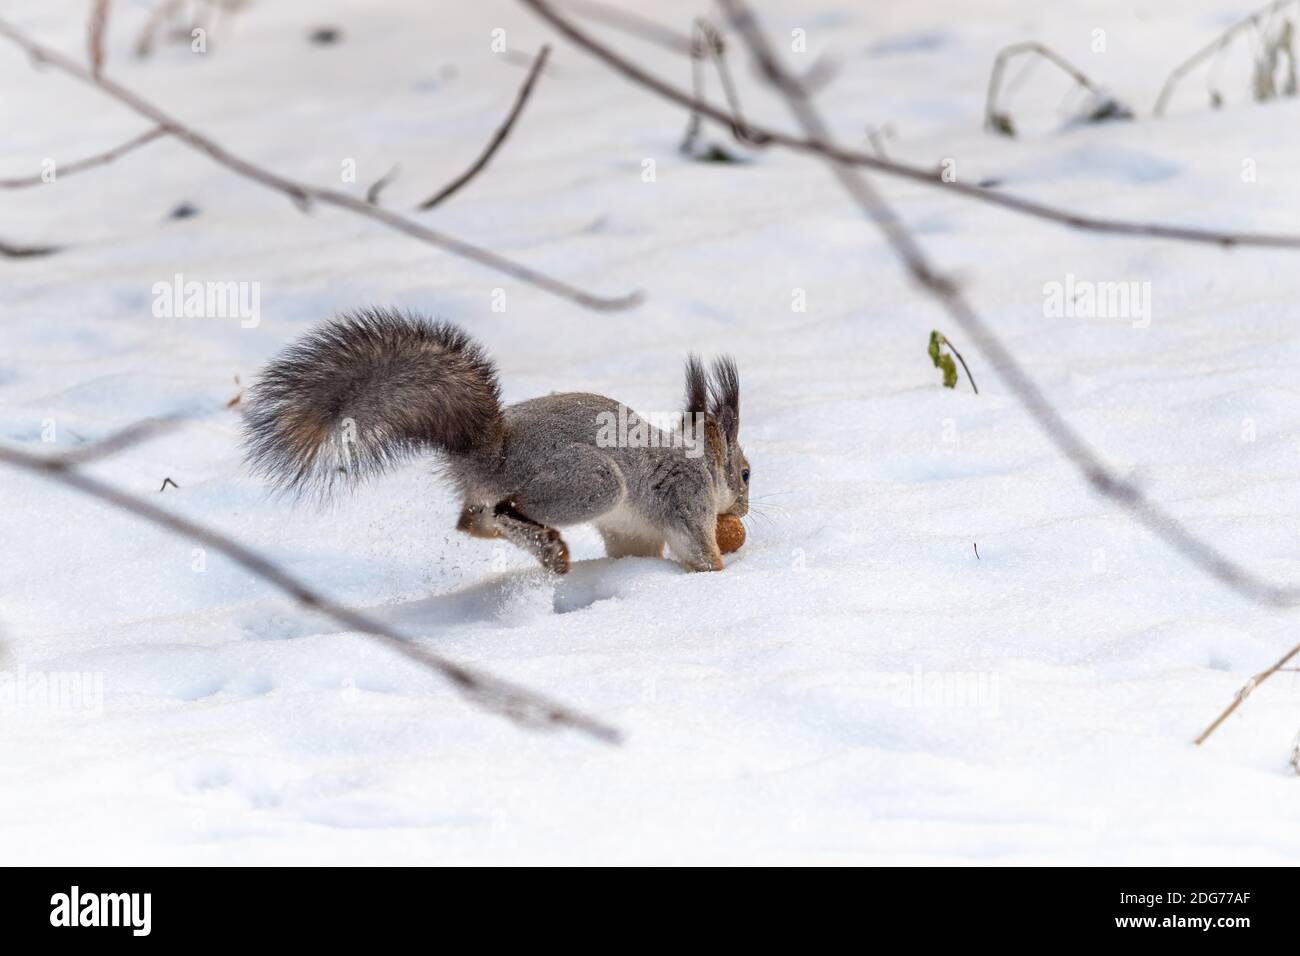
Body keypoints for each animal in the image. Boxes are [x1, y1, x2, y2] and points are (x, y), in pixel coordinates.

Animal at [242, 308, 749, 574]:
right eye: (745, 474)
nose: (743, 509)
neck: (698, 459)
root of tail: (490, 451)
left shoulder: (632, 531)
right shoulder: (686, 500)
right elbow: (698, 550)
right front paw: (722, 570)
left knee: (472, 521)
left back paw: (543, 549)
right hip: (589, 482)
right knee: (508, 510)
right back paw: (545, 544)